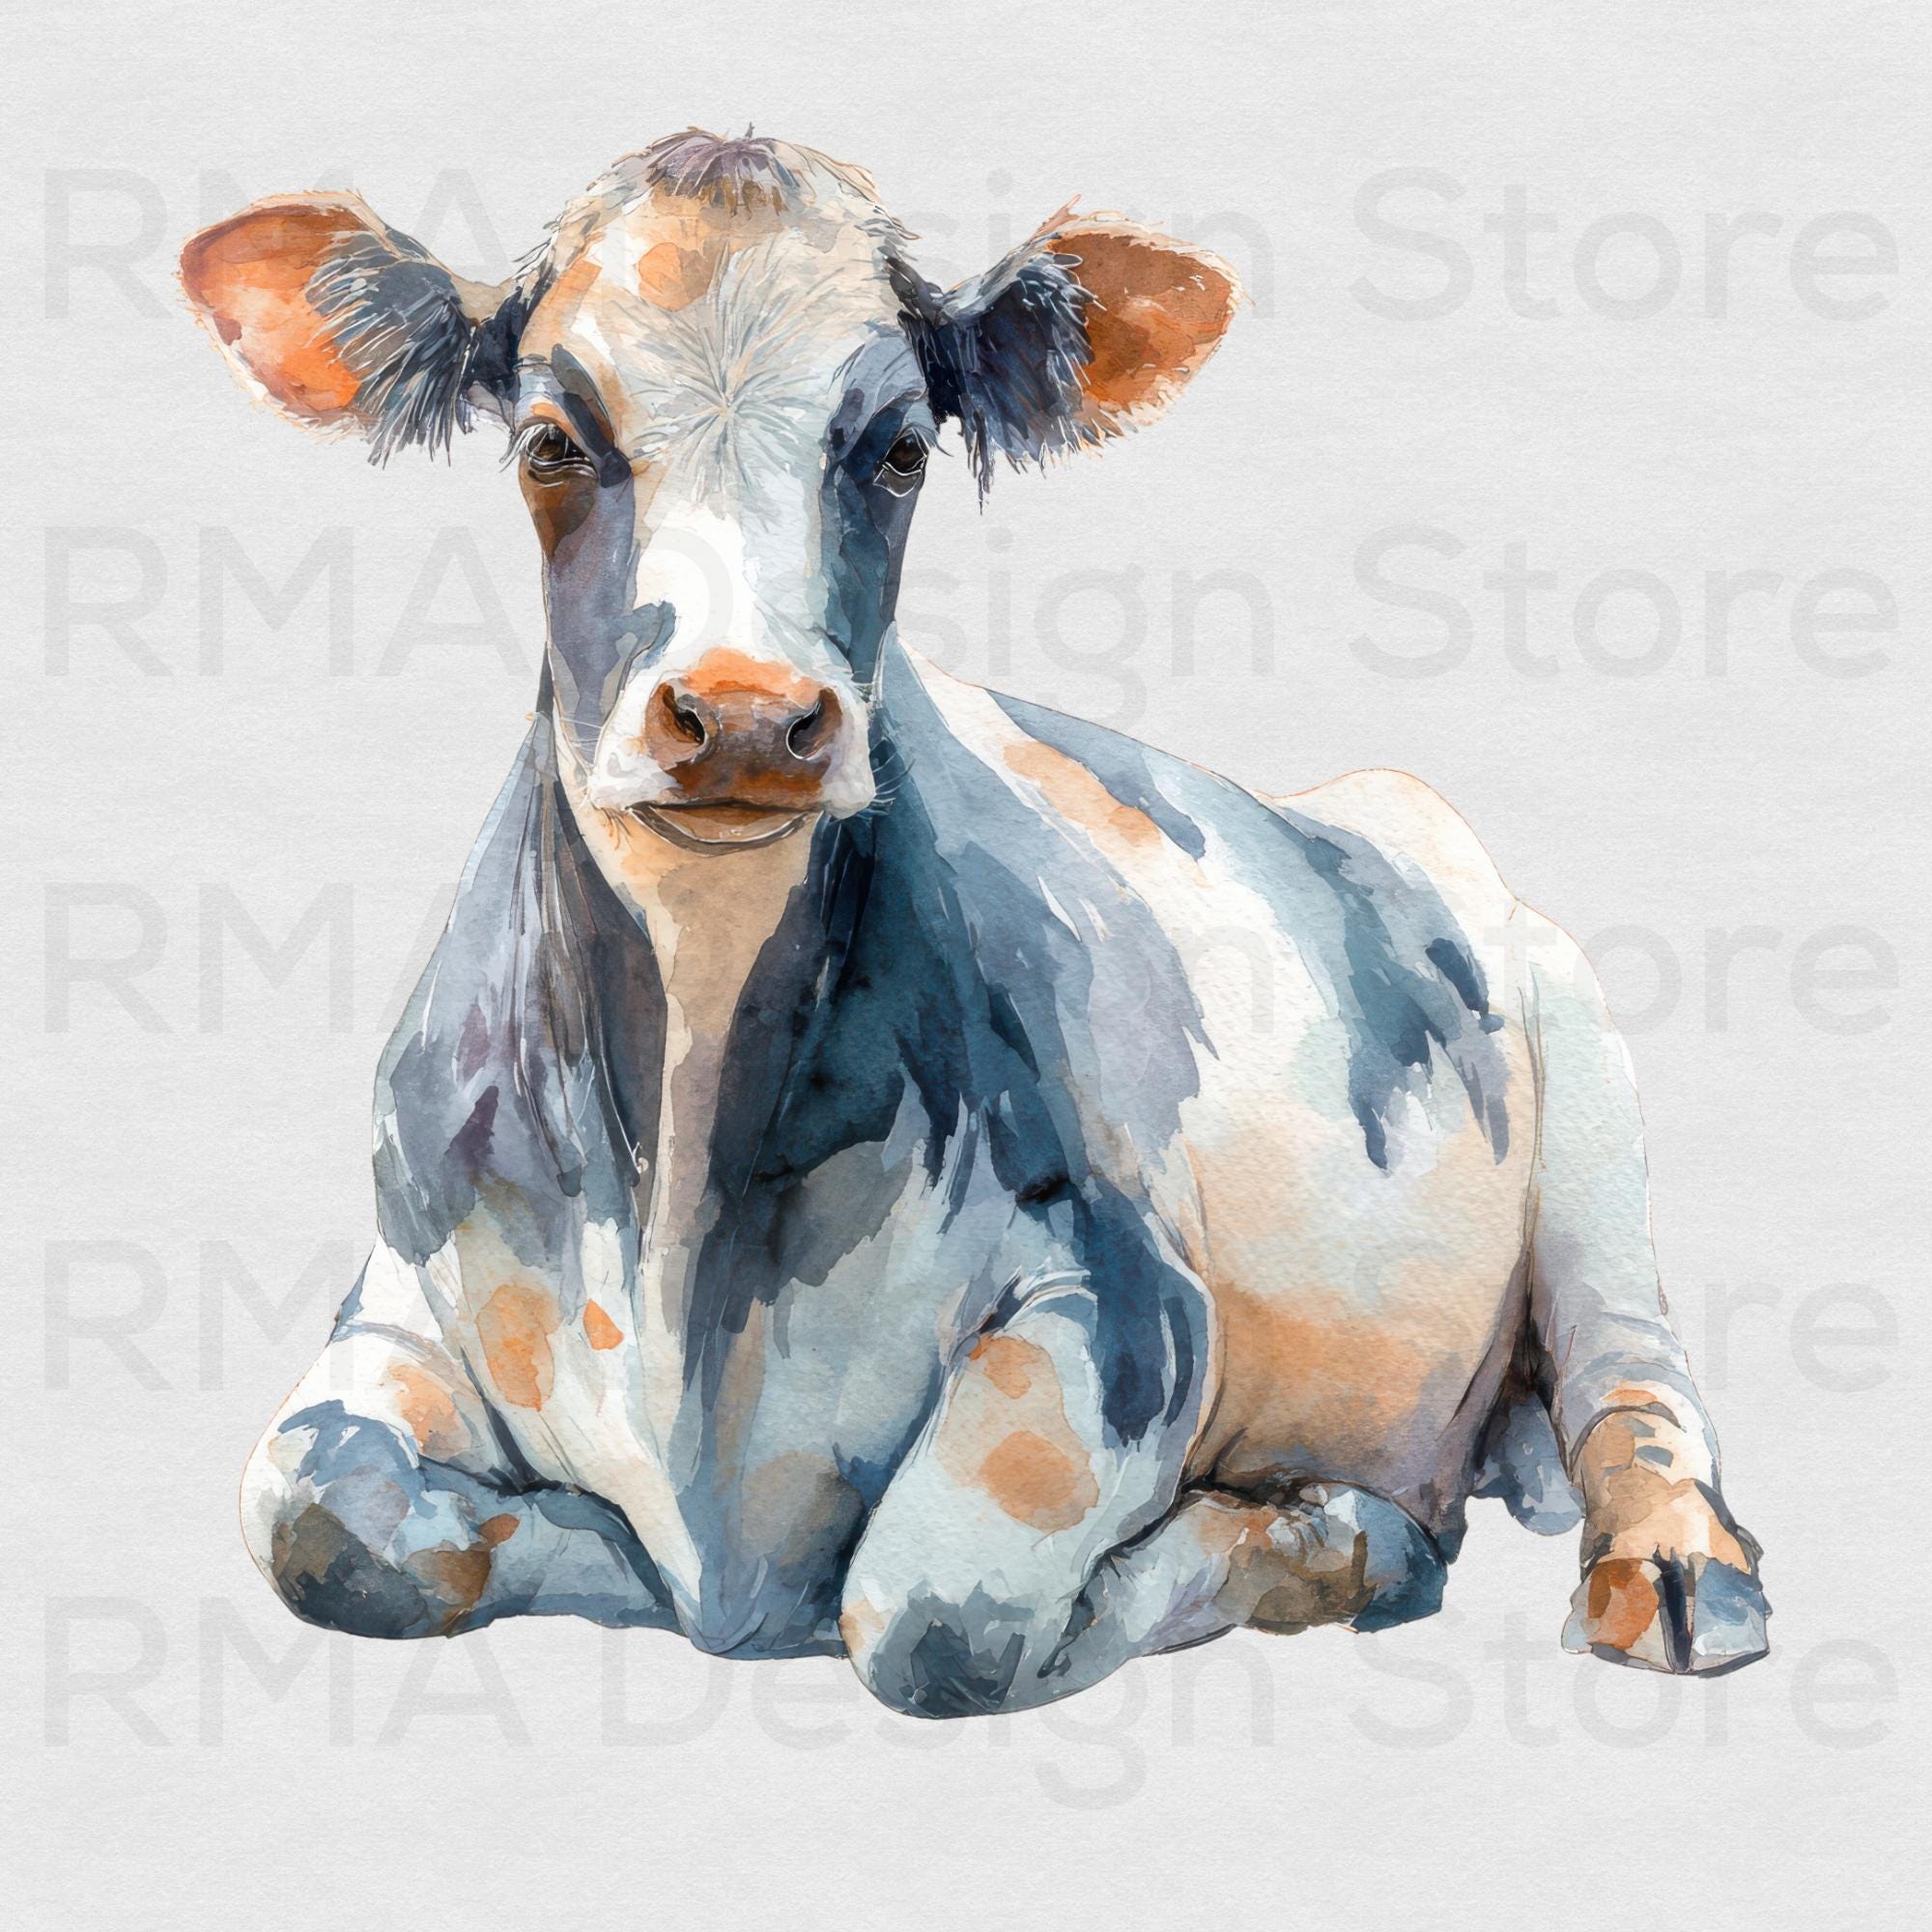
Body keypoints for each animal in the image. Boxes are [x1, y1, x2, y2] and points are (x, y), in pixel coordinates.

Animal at [178, 130, 1768, 1717]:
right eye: (549, 443)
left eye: (897, 447)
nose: (744, 717)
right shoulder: (400, 1296)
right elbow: (308, 1513)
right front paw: (619, 1559)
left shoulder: (1124, 1306)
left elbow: (935, 1609)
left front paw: (1332, 1535)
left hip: (1590, 1124)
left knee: (1635, 1387)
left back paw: (1677, 1575)